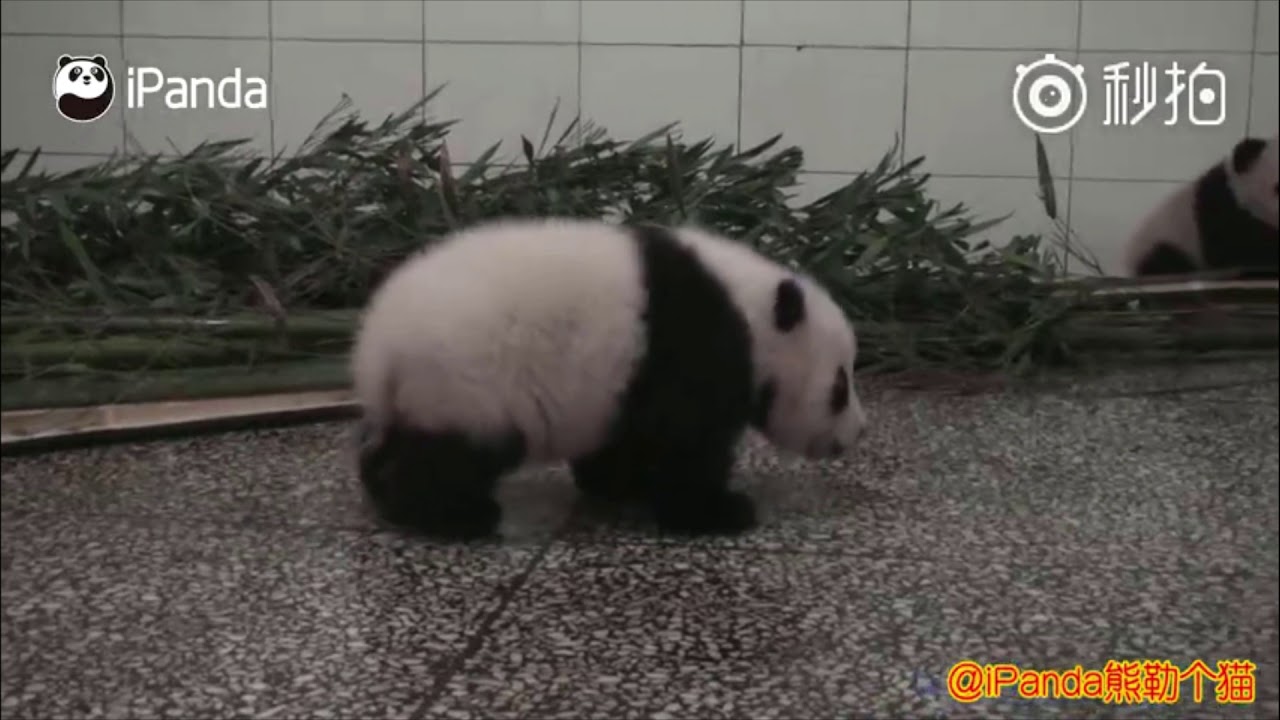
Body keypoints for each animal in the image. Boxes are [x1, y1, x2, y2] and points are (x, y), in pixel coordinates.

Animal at [351, 217, 868, 540]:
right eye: (840, 388)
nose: (858, 434)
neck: (751, 312)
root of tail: (379, 348)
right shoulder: (693, 344)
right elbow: (685, 438)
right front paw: (719, 510)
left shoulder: (626, 384)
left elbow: (629, 436)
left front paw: (617, 483)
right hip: (468, 384)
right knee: (450, 457)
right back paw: (457, 515)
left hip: (418, 395)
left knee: (390, 443)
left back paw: (384, 493)